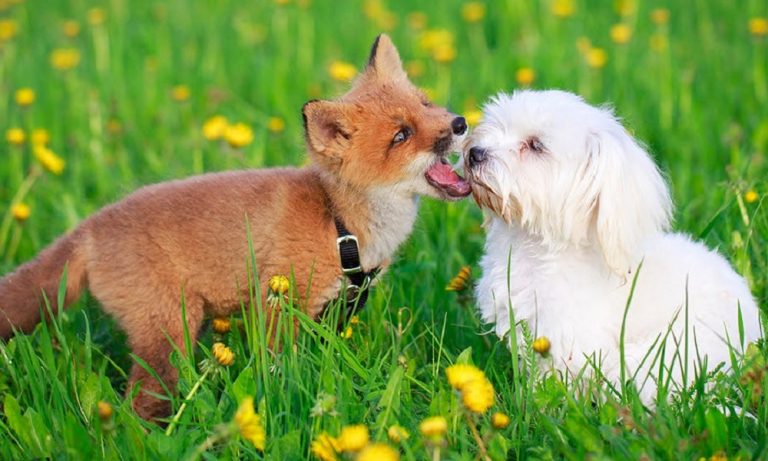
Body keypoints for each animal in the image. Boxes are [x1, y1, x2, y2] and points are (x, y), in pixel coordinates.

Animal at [0, 34, 471, 420]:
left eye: (425, 104)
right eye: (401, 135)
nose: (459, 123)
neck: (339, 224)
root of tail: (91, 225)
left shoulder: (335, 309)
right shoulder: (278, 300)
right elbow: (280, 367)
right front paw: (282, 395)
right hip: (169, 335)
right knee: (138, 403)